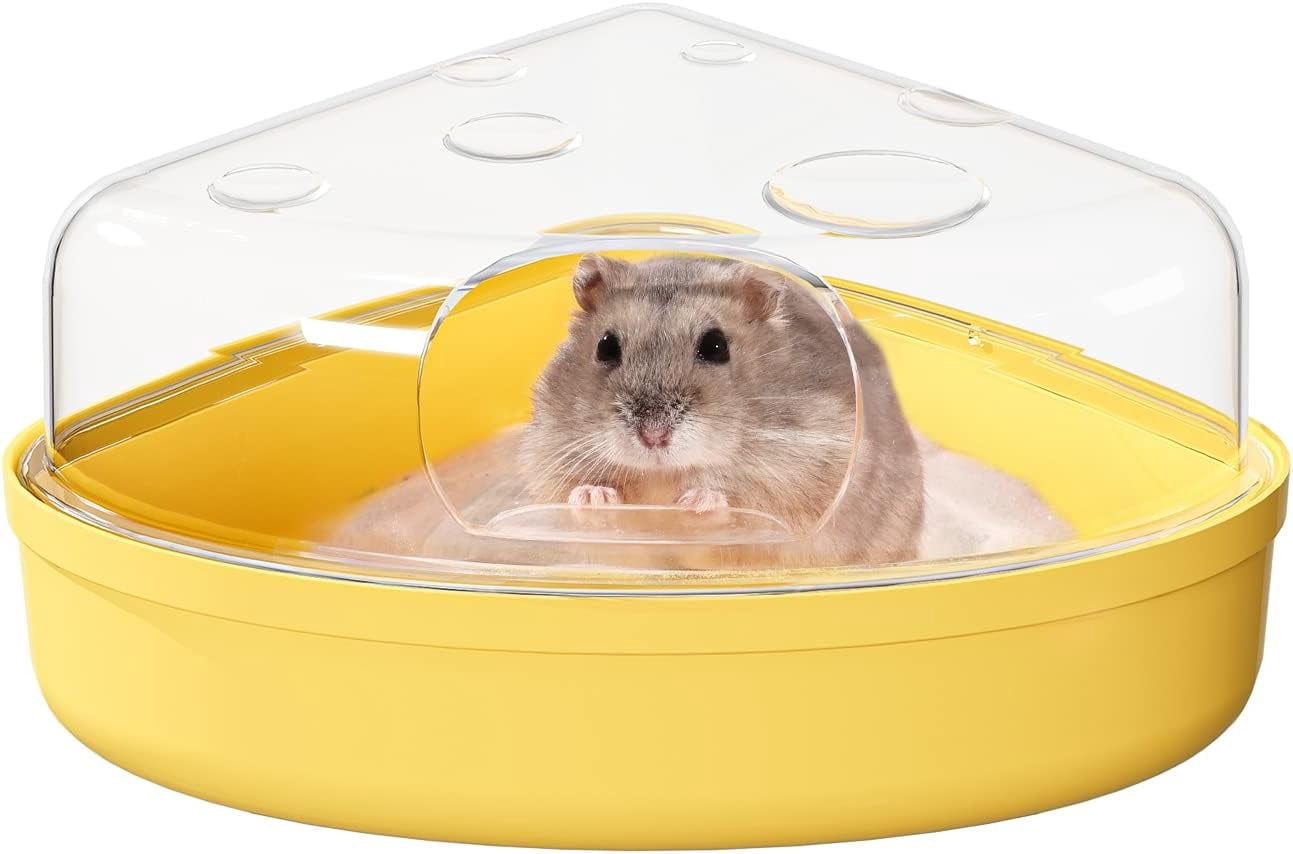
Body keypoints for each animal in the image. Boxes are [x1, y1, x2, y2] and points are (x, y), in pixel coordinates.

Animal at [519, 253, 926, 565]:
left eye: (716, 347)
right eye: (605, 346)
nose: (653, 436)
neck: (662, 477)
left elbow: (730, 510)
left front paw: (695, 503)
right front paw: (594, 497)